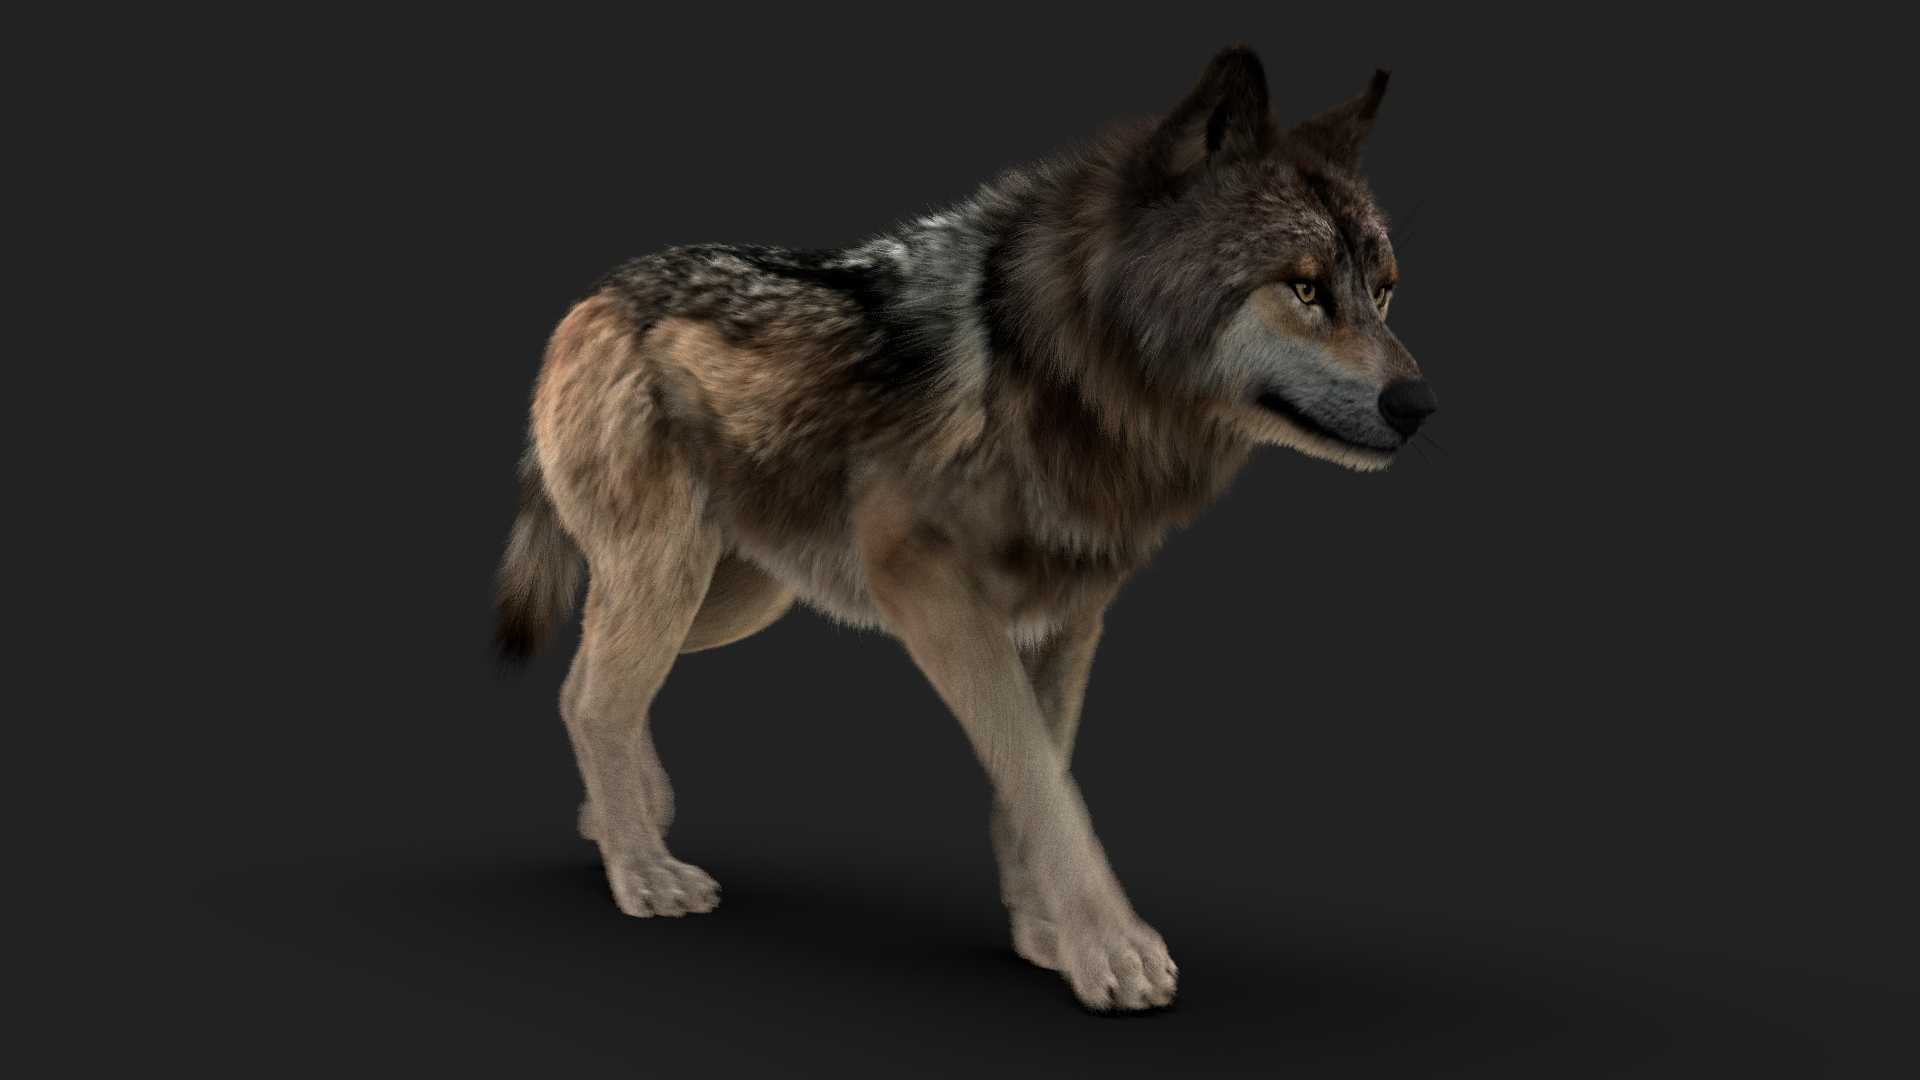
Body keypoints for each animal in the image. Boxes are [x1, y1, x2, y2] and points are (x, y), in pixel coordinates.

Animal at [494, 44, 1435, 1012]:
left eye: (1384, 294)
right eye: (1304, 288)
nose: (1418, 404)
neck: (1074, 374)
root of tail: (593, 297)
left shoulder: (1067, 623)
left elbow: (1041, 780)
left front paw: (1049, 937)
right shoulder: (930, 594)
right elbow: (1043, 786)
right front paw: (1111, 949)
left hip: (736, 602)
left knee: (586, 682)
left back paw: (624, 821)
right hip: (677, 581)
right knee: (597, 697)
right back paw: (643, 869)